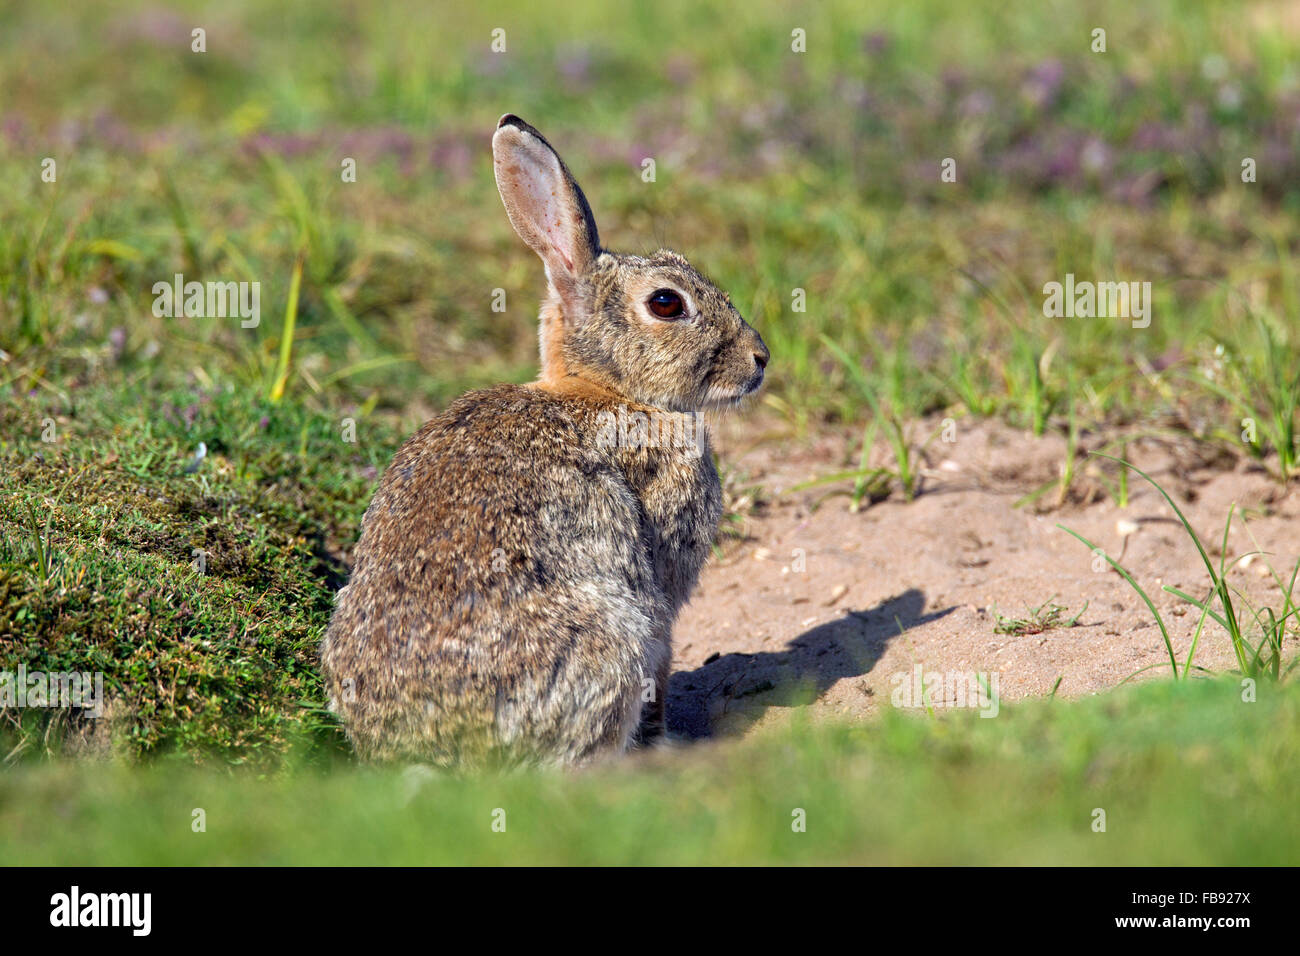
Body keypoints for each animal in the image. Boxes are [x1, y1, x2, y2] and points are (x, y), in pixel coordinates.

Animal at [320, 114, 769, 769]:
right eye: (666, 303)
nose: (760, 358)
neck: (607, 389)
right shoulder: (660, 582)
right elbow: (663, 657)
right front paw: (666, 743)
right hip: (611, 639)